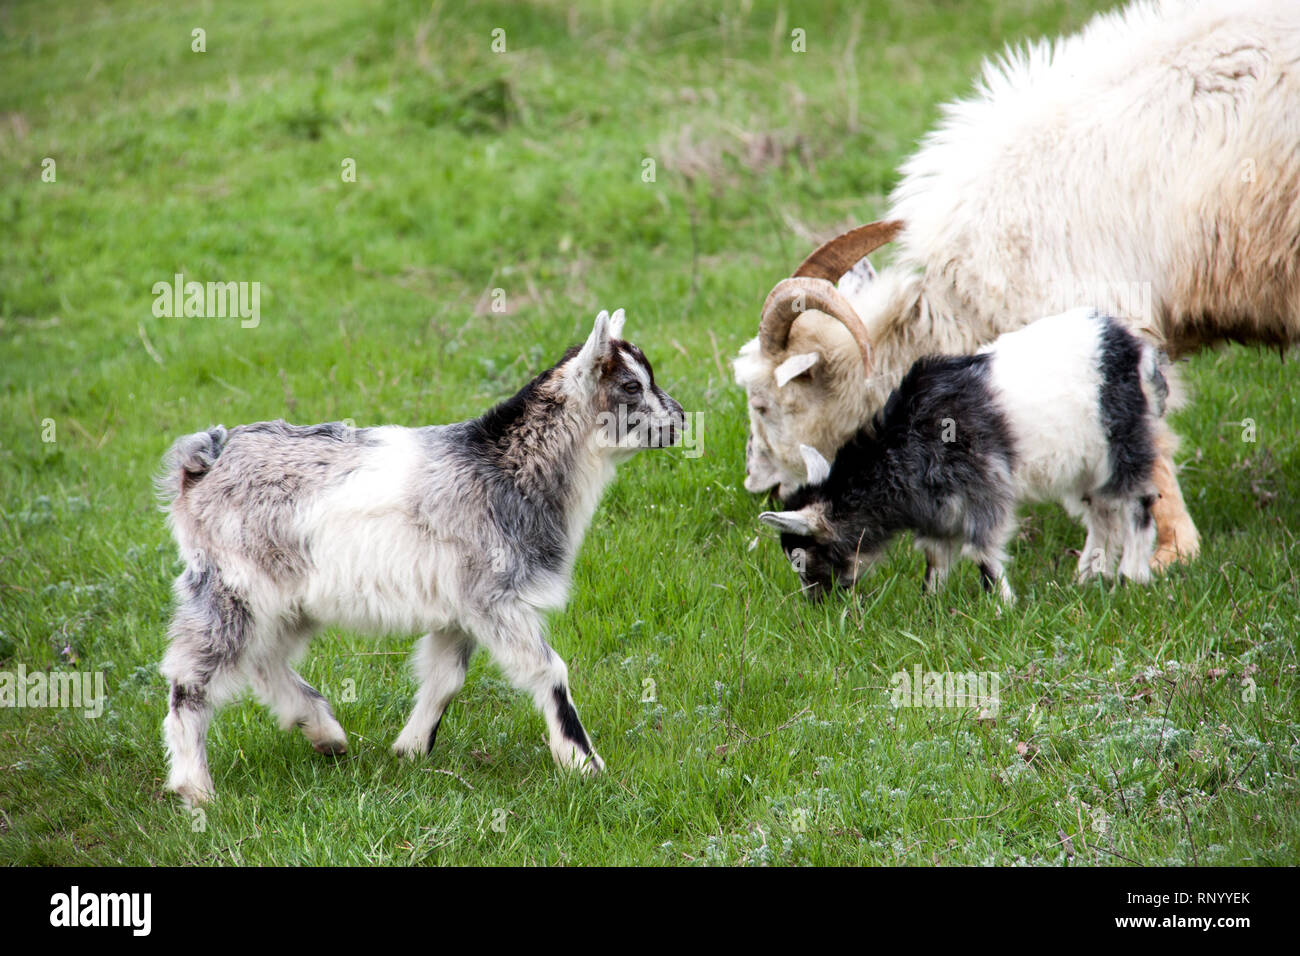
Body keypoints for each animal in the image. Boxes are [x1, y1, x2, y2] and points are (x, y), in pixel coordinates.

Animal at [156, 310, 682, 805]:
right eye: (631, 385)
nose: (678, 423)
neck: (507, 466)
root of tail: (205, 461)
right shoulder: (494, 598)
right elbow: (549, 671)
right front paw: (584, 764)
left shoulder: (460, 607)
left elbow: (446, 677)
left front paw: (410, 749)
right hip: (229, 584)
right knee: (193, 676)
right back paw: (195, 787)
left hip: (286, 597)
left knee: (264, 660)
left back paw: (325, 733)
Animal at [737, 0, 1300, 570]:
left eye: (763, 404)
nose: (756, 483)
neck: (960, 302)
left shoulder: (1109, 333)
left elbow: (1147, 445)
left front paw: (1170, 553)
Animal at [759, 309, 1169, 602]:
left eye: (803, 557)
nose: (818, 603)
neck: (906, 443)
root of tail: (1135, 348)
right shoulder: (934, 512)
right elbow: (934, 557)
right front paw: (931, 604)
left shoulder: (983, 488)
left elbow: (981, 551)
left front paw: (1002, 605)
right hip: (1082, 466)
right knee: (1101, 513)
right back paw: (1087, 577)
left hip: (1122, 445)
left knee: (1138, 503)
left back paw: (1132, 577)